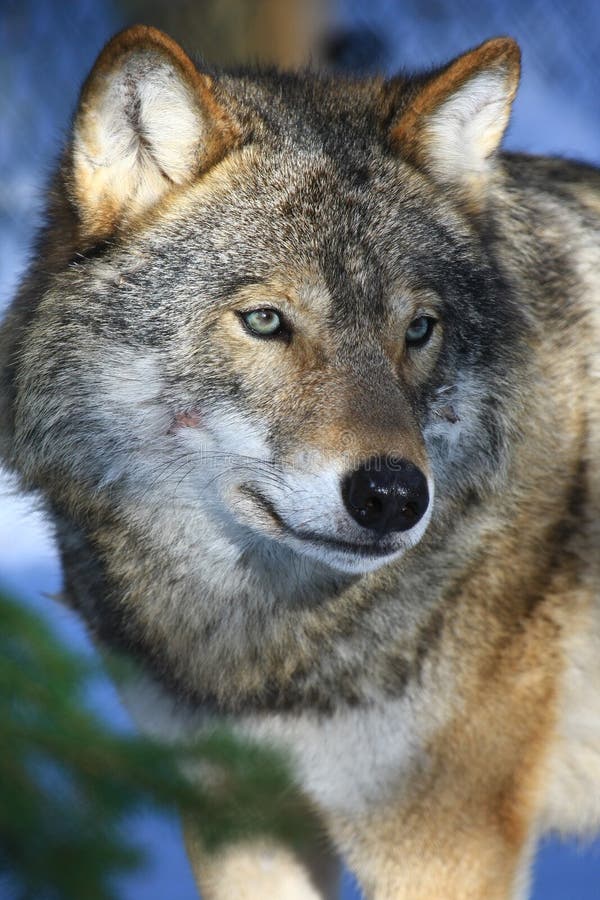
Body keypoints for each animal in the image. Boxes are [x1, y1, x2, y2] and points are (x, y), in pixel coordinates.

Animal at [1, 23, 599, 899]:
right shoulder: (237, 814)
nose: (393, 497)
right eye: (265, 320)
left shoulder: (442, 840)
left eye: (418, 330)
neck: (262, 651)